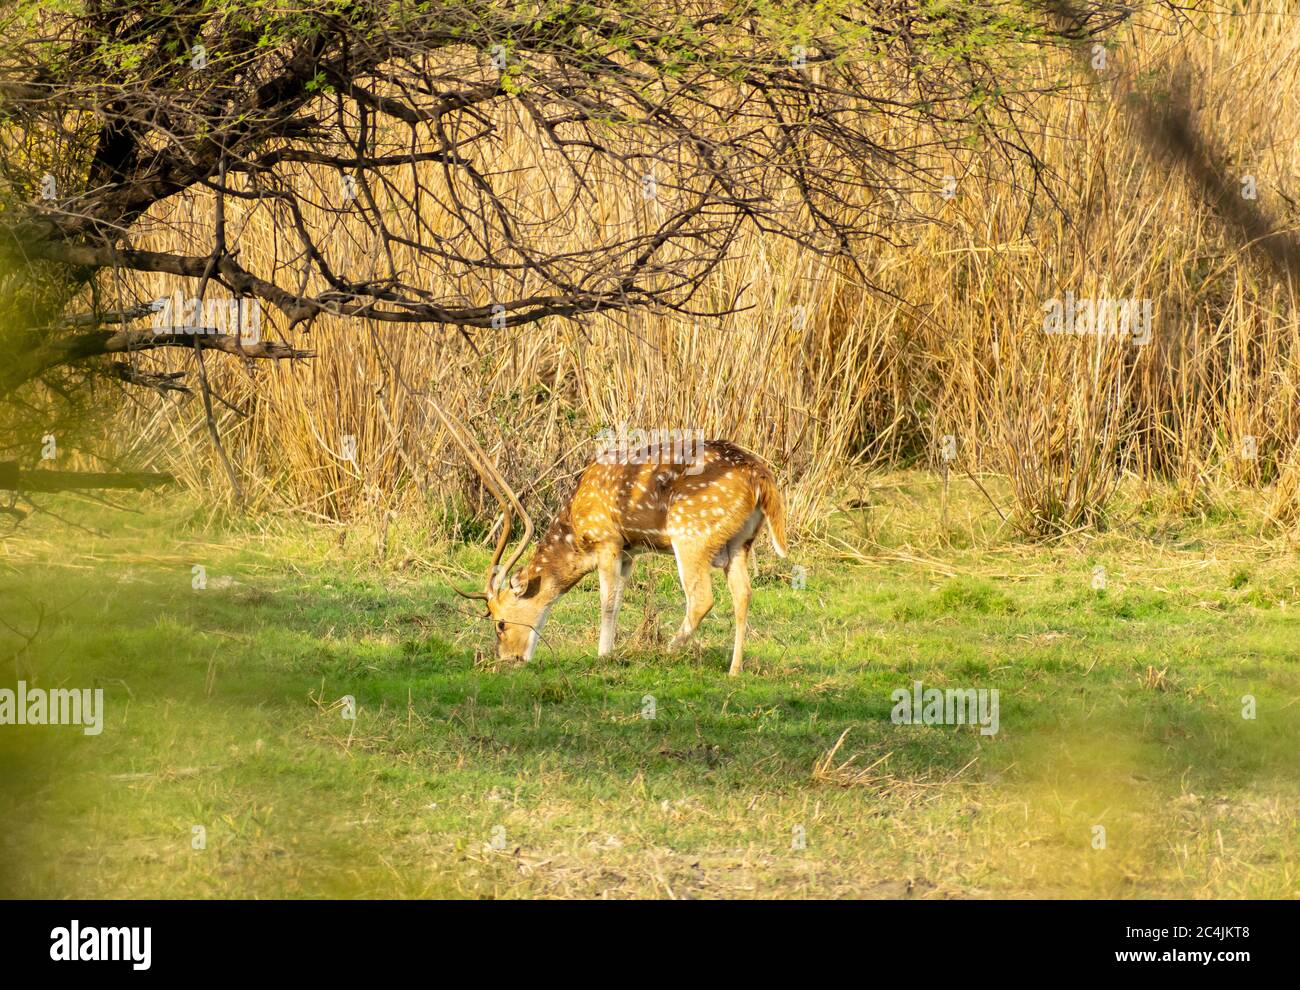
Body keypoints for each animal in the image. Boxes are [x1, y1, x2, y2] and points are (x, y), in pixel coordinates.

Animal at [453, 433, 788, 676]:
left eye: (500, 623)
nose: (509, 659)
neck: (576, 527)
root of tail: (761, 477)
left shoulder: (607, 540)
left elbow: (608, 602)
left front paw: (603, 655)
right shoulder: (630, 551)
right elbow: (620, 598)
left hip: (691, 532)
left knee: (702, 597)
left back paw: (667, 651)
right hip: (741, 541)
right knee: (743, 593)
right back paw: (734, 669)